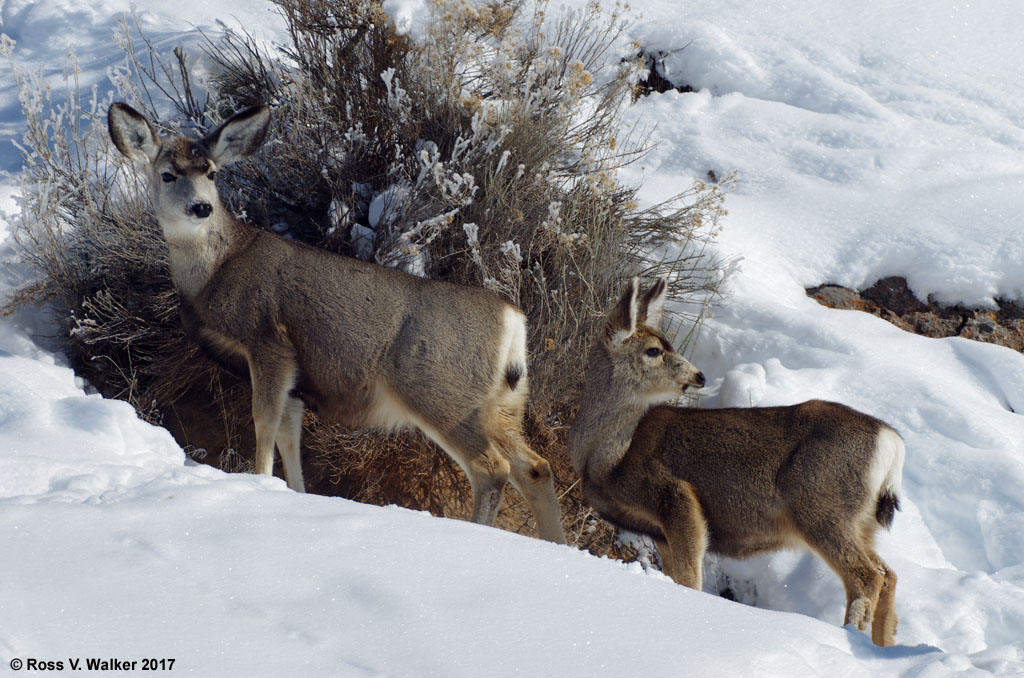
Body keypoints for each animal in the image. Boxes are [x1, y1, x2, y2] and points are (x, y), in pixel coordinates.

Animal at [107, 102, 566, 544]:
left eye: (212, 173)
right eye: (168, 174)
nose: (201, 207)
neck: (215, 271)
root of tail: (513, 320)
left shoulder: (269, 341)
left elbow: (264, 422)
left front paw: (258, 486)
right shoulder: (298, 380)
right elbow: (289, 436)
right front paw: (295, 496)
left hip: (439, 391)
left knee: (491, 468)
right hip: (501, 403)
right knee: (535, 467)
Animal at [568, 277, 904, 645]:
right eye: (654, 350)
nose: (699, 376)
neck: (607, 458)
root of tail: (891, 441)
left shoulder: (675, 495)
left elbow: (690, 577)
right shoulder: (657, 531)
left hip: (821, 505)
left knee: (866, 577)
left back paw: (850, 635)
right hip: (862, 521)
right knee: (889, 575)